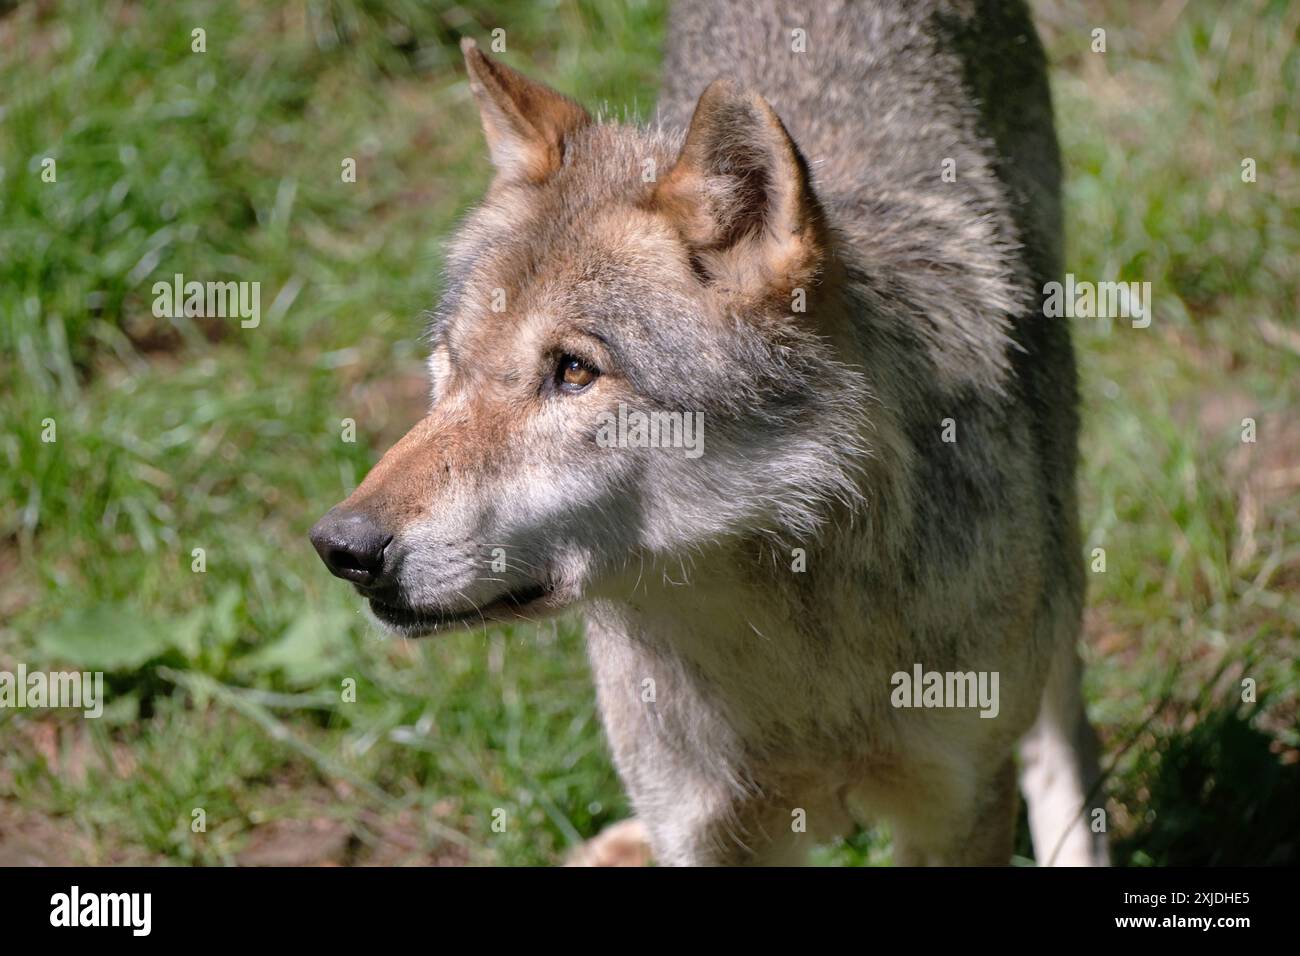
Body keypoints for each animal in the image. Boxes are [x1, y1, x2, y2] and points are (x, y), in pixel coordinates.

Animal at [310, 0, 1109, 866]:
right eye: (450, 364)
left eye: (574, 371)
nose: (341, 547)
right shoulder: (701, 828)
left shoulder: (952, 812)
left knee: (1062, 735)